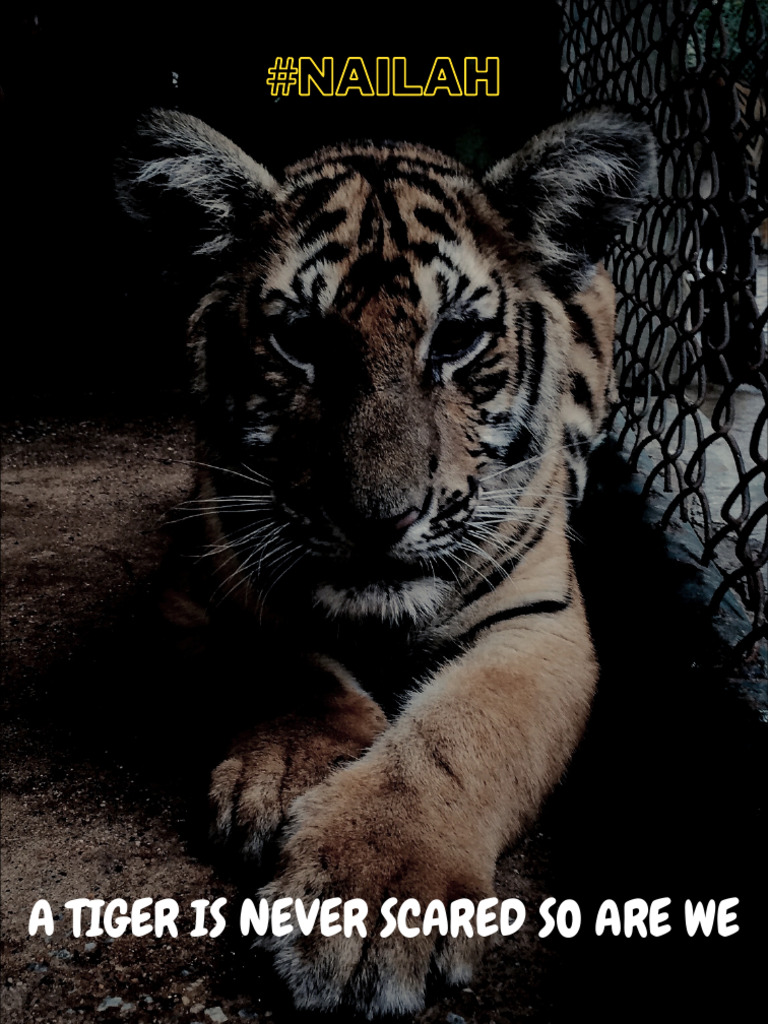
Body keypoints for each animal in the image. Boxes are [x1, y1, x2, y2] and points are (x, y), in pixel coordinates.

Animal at [117, 106, 654, 1016]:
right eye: (298, 339)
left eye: (457, 338)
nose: (378, 519)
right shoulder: (197, 579)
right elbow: (277, 656)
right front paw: (301, 771)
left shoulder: (540, 620)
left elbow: (460, 733)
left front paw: (373, 897)